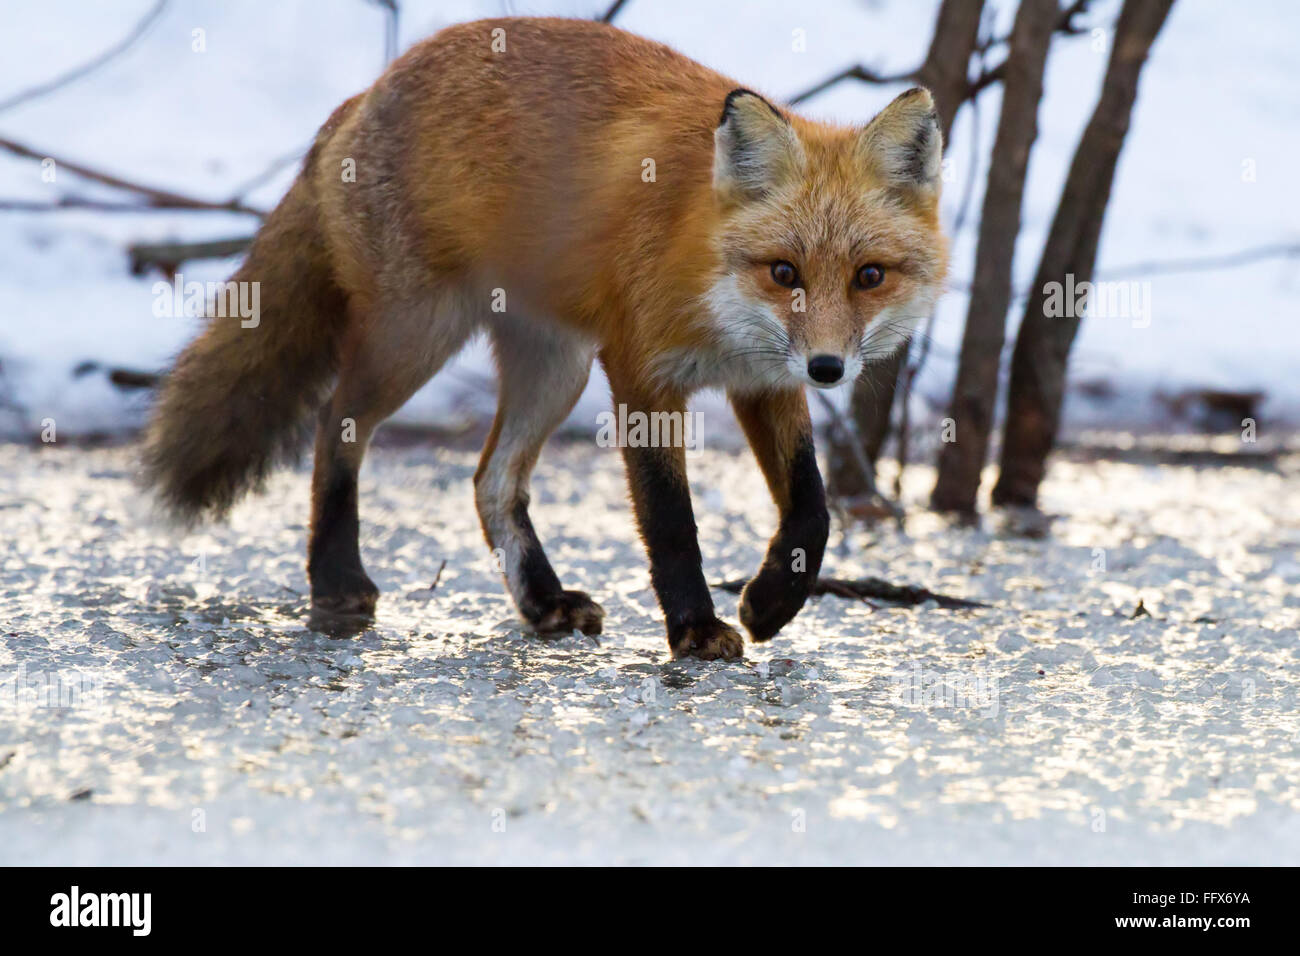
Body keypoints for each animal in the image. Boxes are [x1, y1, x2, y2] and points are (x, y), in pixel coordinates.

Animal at [142, 17, 948, 661]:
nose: (829, 367)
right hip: (420, 335)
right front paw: (693, 628)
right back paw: (336, 579)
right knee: (334, 422)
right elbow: (670, 521)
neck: (704, 268)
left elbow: (813, 508)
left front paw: (771, 603)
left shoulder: (765, 378)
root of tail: (365, 94)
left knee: (490, 480)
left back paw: (542, 601)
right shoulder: (641, 371)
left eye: (869, 275)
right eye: (784, 272)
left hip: (556, 369)